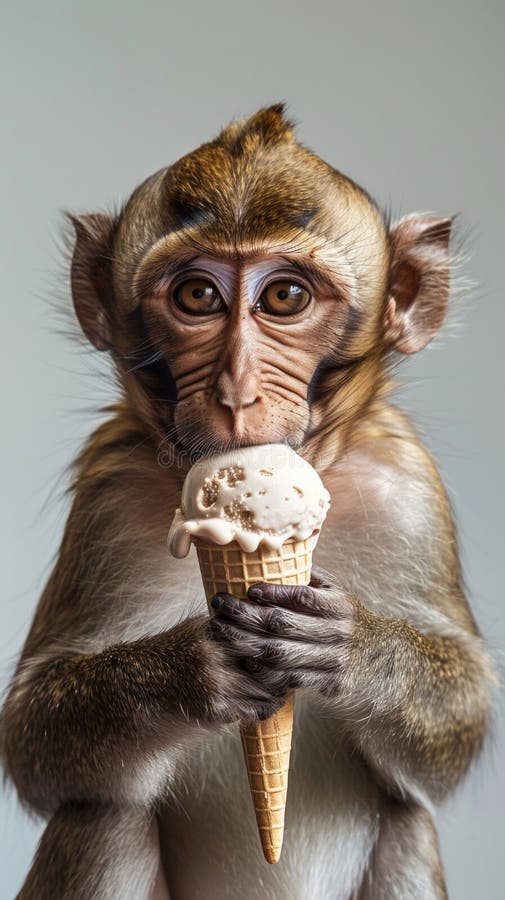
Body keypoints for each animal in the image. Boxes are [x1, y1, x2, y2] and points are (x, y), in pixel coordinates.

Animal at [0, 104, 494, 900]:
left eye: (285, 297)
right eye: (197, 295)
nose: (236, 391)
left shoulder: (407, 487)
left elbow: (463, 712)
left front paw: (351, 647)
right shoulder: (107, 494)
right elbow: (31, 733)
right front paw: (187, 669)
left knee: (407, 819)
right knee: (103, 817)